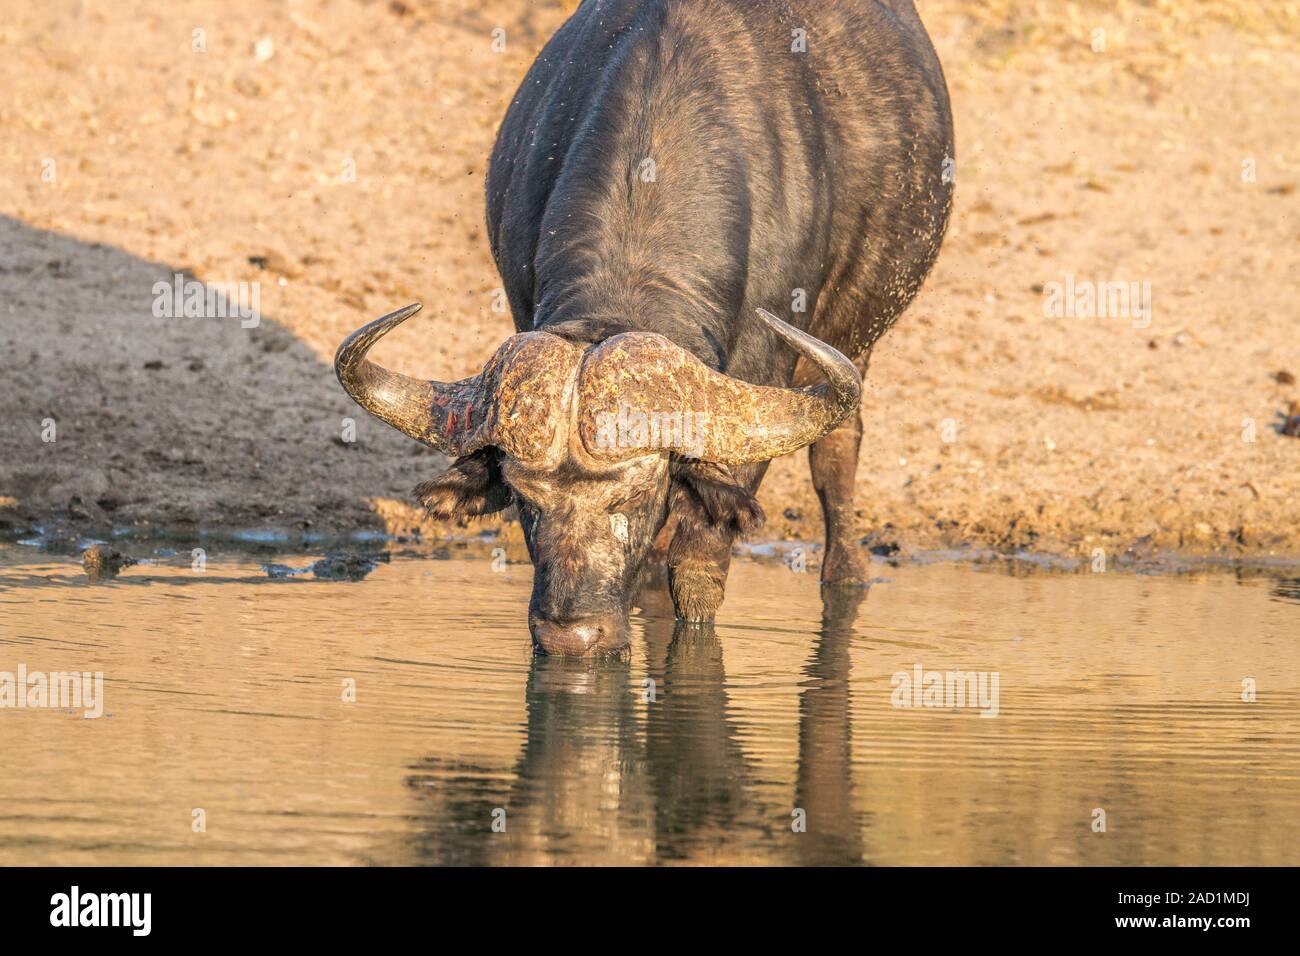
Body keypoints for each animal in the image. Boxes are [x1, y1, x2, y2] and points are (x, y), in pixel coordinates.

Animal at [336, 0, 954, 656]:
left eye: (632, 495)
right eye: (525, 498)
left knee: (837, 452)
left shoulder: (757, 391)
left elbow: (700, 566)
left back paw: (845, 575)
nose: (570, 636)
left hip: (855, 342)